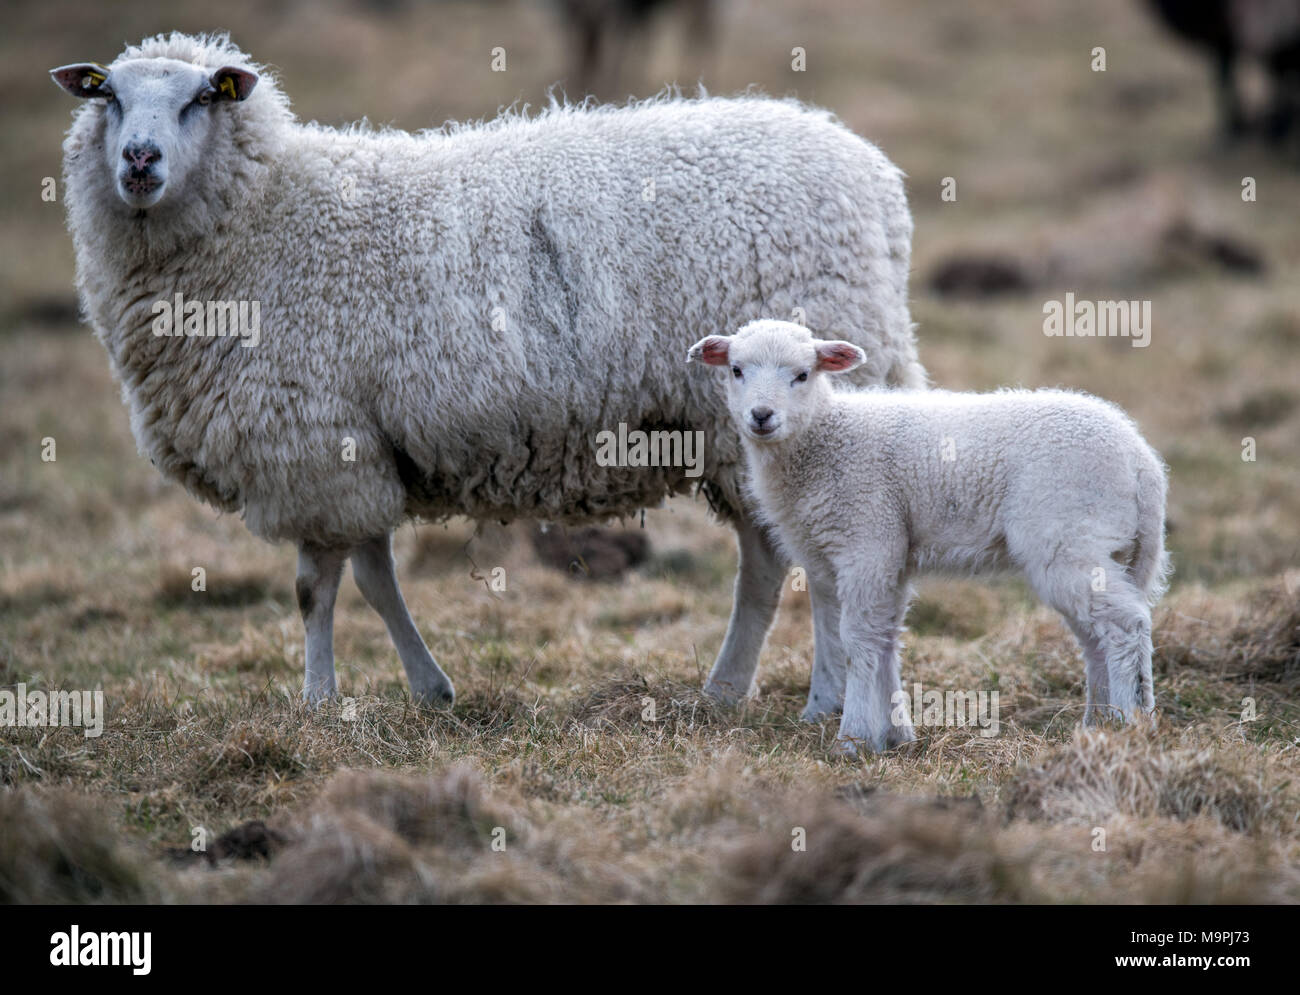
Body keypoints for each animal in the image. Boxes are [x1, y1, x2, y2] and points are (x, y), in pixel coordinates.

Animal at [51, 32, 924, 709]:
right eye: (108, 96)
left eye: (202, 99)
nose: (138, 160)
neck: (268, 219)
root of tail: (876, 183)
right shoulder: (359, 451)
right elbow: (373, 578)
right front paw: (427, 689)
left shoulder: (315, 450)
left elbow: (318, 589)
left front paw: (319, 700)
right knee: (771, 564)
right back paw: (735, 692)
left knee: (802, 565)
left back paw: (811, 698)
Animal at [689, 320, 1170, 754]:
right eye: (736, 370)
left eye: (802, 374)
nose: (761, 416)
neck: (824, 436)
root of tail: (1142, 462)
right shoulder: (892, 552)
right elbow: (886, 638)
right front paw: (895, 735)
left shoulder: (868, 539)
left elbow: (858, 640)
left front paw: (853, 738)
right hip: (1102, 548)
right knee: (1096, 636)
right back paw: (1099, 724)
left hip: (1068, 537)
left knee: (1126, 625)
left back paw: (1131, 723)